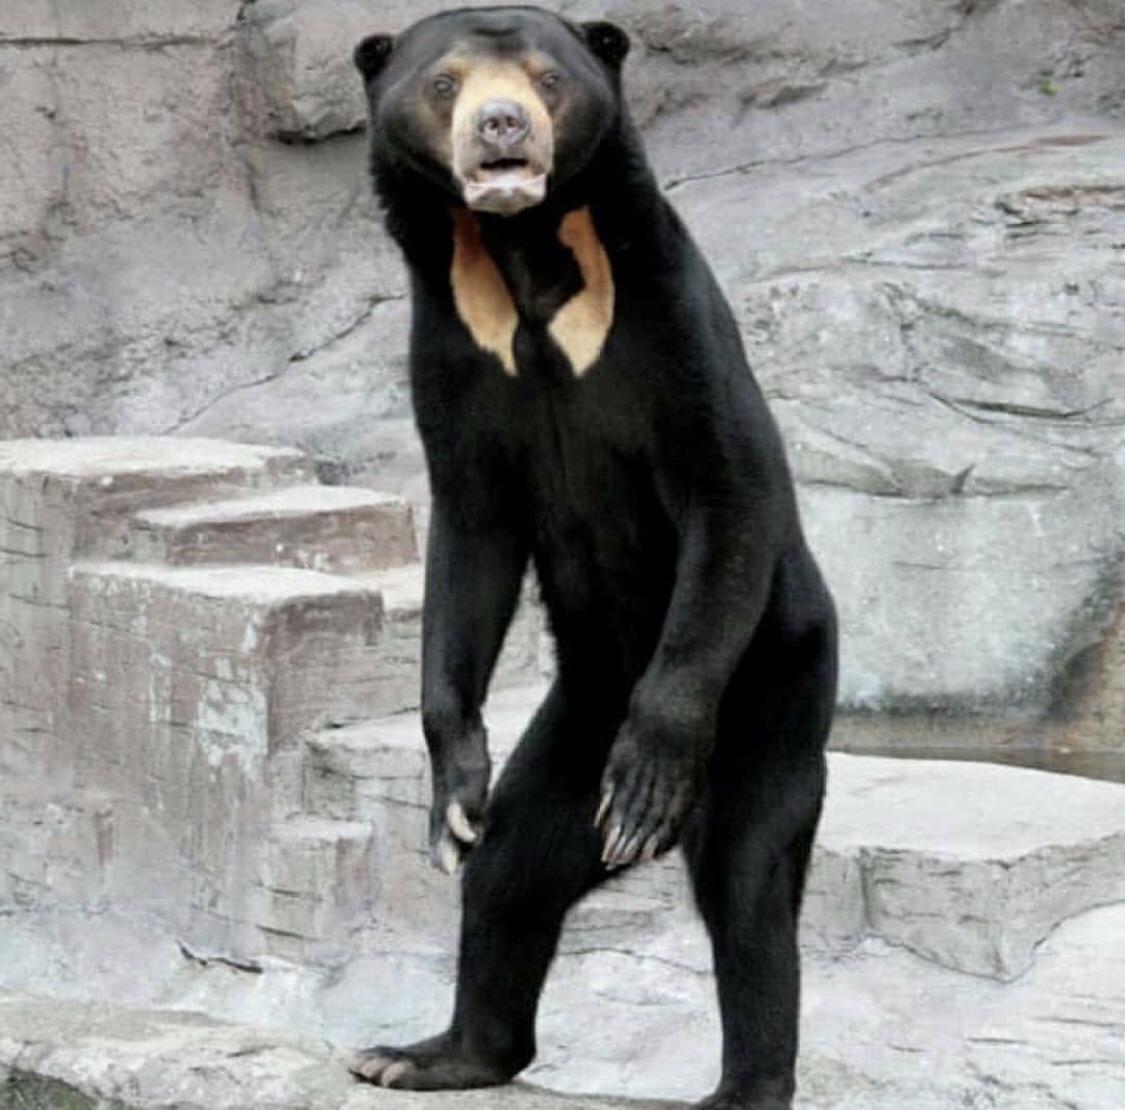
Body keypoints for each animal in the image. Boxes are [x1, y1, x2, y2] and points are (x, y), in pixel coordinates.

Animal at [350, 8, 837, 1109]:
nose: (499, 129)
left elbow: (728, 487)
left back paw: (743, 1082)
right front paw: (452, 797)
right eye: (444, 83)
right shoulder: (449, 350)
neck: (522, 259)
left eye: (545, 78)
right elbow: (470, 535)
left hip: (778, 686)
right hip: (577, 723)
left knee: (747, 881)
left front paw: (650, 774)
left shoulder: (668, 318)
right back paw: (428, 1053)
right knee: (517, 863)